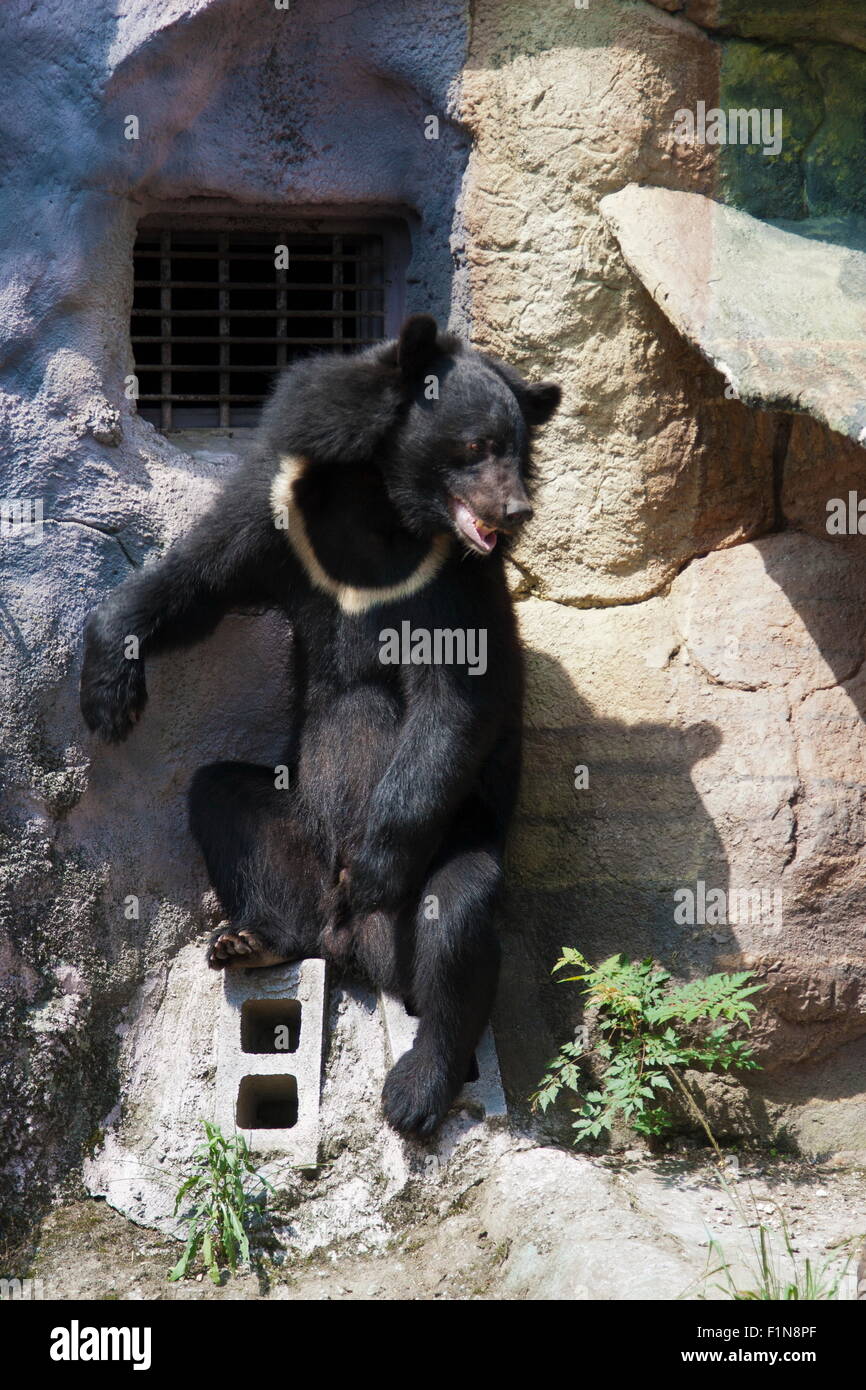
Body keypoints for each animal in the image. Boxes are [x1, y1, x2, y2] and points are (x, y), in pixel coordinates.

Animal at [80, 314, 561, 1137]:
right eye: (474, 446)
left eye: (517, 448)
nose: (518, 511)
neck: (385, 507)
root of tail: (356, 948)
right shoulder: (283, 514)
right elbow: (197, 580)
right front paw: (109, 693)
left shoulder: (453, 578)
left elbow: (455, 705)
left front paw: (373, 863)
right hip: (293, 819)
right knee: (222, 801)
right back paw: (252, 939)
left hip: (448, 861)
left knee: (456, 928)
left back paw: (416, 1088)